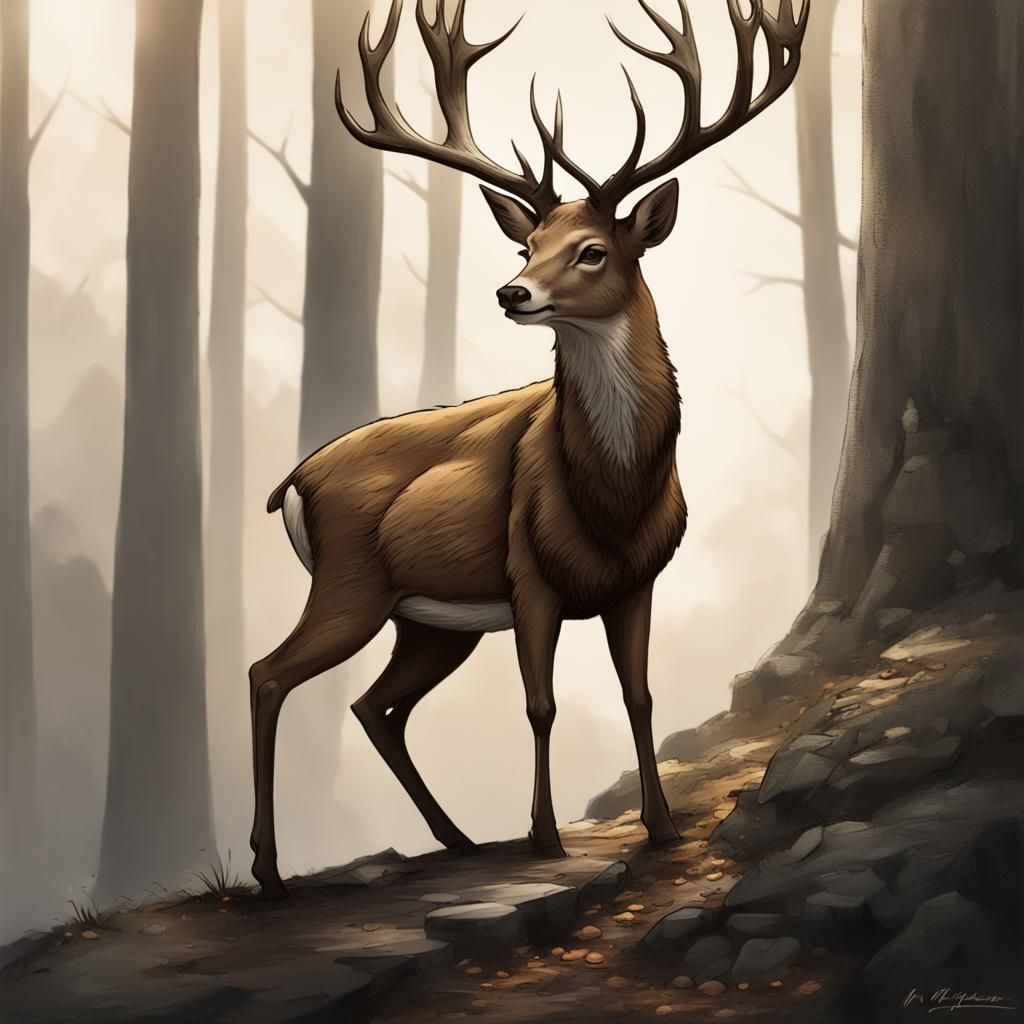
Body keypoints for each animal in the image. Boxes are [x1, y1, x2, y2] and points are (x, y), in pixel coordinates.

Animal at [249, 0, 807, 898]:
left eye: (593, 249)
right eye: (525, 247)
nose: (513, 292)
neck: (614, 496)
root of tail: (290, 483)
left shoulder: (639, 580)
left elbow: (641, 696)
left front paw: (661, 826)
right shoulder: (528, 577)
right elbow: (540, 704)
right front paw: (545, 837)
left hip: (428, 621)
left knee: (374, 705)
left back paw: (457, 838)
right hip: (351, 583)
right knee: (270, 673)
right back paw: (269, 868)